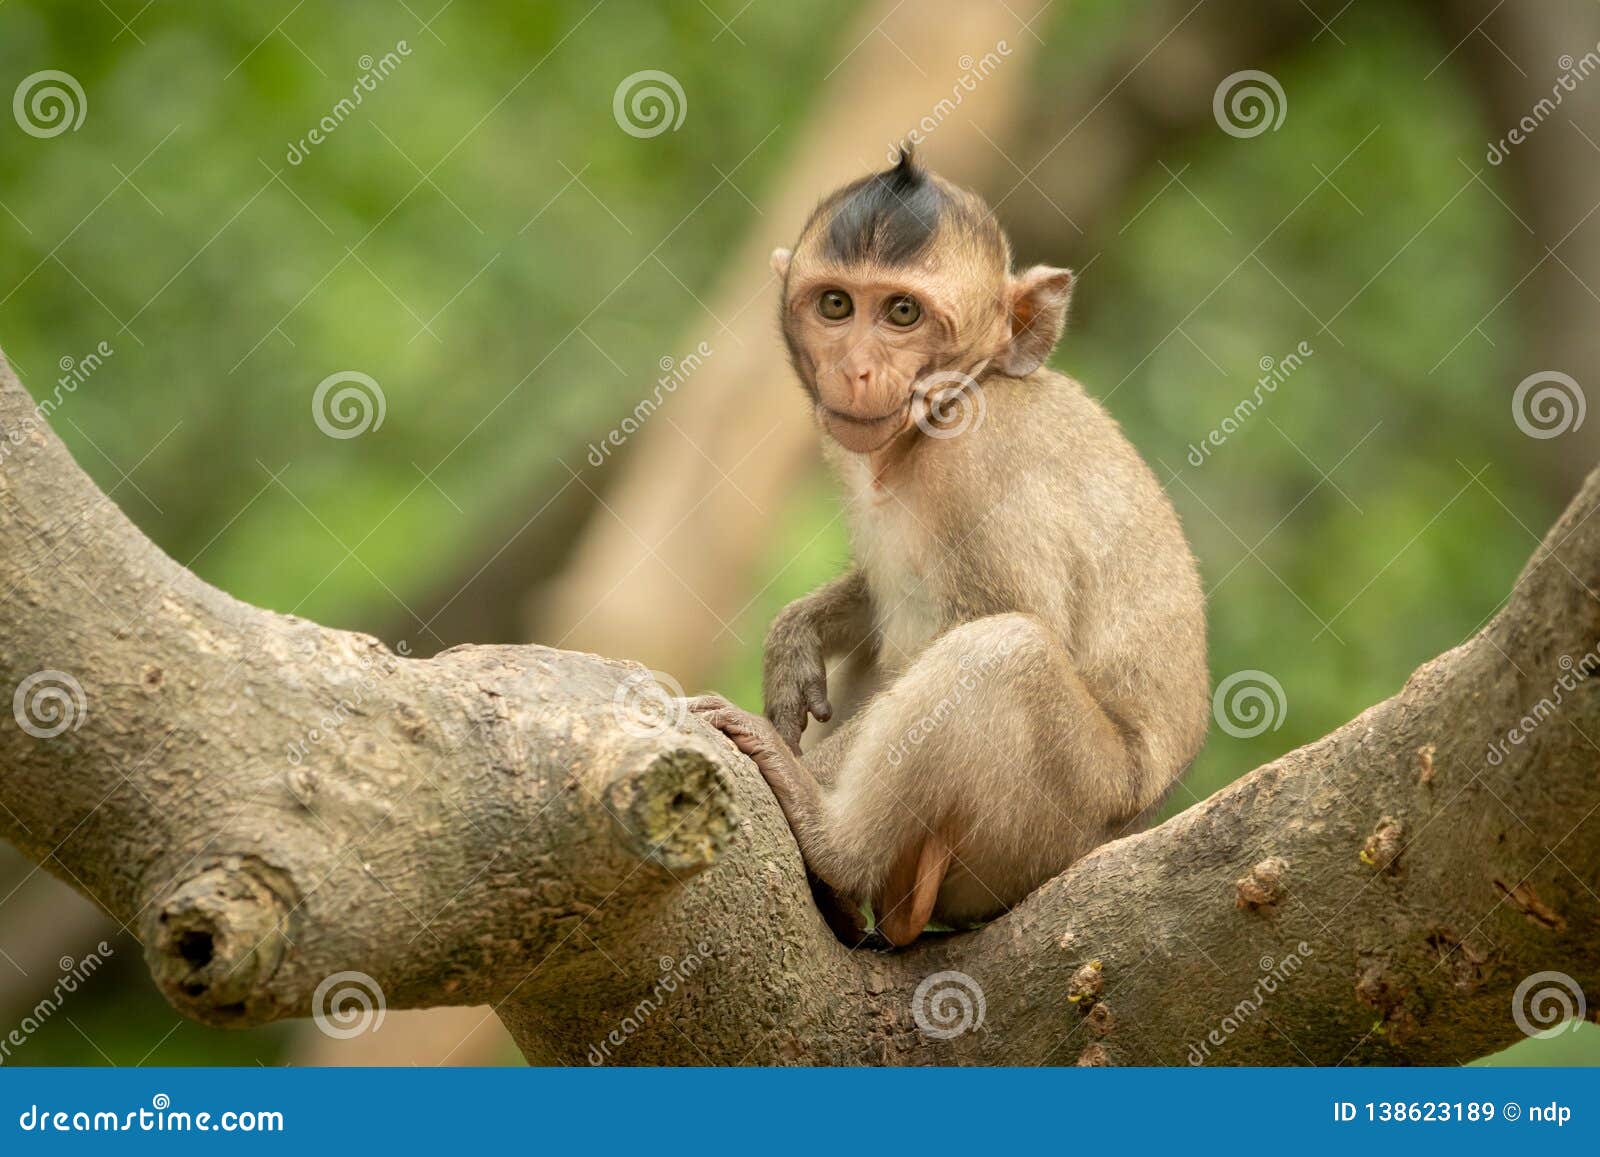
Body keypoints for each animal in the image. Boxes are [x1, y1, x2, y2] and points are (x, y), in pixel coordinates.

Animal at [689, 148, 1208, 947]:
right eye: (835, 305)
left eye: (903, 313)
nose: (855, 368)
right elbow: (876, 594)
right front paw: (793, 640)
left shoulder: (975, 460)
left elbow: (1009, 623)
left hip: (1051, 823)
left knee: (1005, 654)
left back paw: (831, 839)